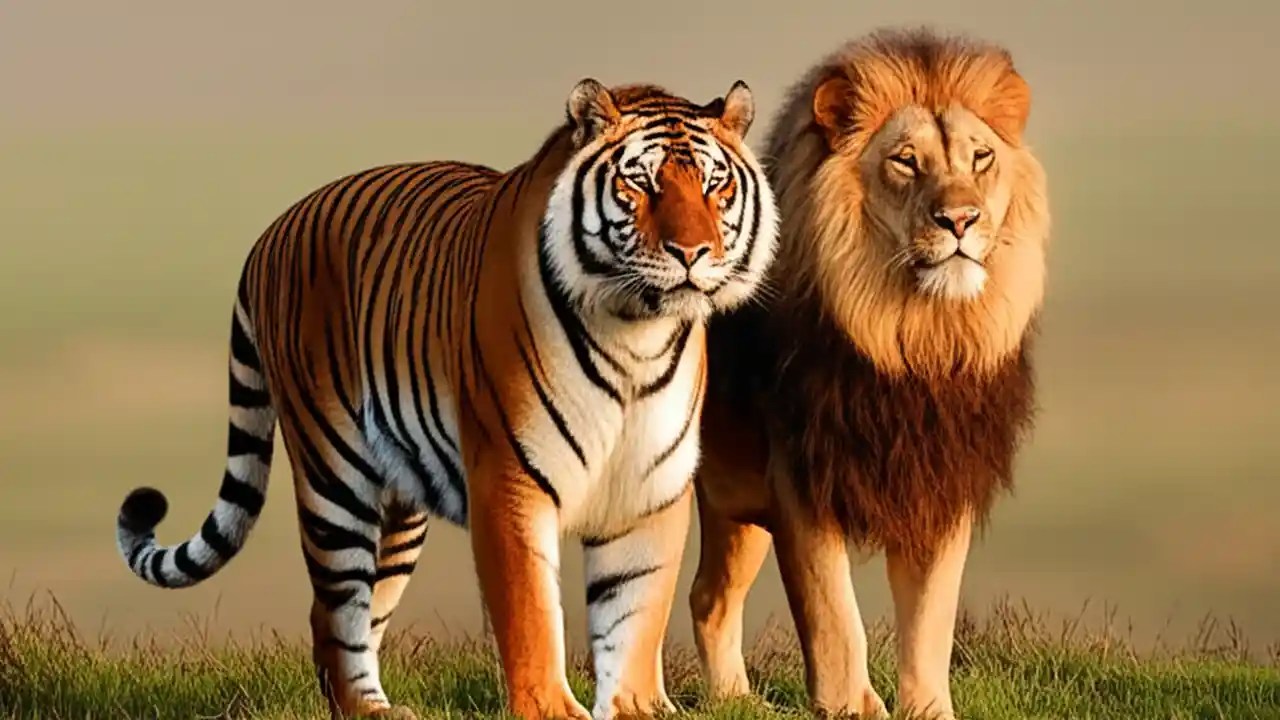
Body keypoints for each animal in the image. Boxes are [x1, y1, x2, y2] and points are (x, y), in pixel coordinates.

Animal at [112, 78, 778, 720]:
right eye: (639, 182)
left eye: (715, 186)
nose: (692, 254)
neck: (636, 334)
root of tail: (272, 231)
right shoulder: (511, 479)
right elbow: (531, 612)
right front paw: (550, 710)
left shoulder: (648, 487)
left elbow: (635, 612)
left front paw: (638, 707)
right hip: (334, 474)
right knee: (336, 608)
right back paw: (370, 711)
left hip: (399, 508)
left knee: (356, 610)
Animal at [689, 28, 1050, 720]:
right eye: (906, 161)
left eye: (981, 159)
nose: (960, 220)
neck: (914, 337)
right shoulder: (802, 482)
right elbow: (834, 615)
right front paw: (851, 706)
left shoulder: (939, 481)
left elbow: (932, 618)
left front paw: (928, 709)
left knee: (708, 599)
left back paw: (736, 702)